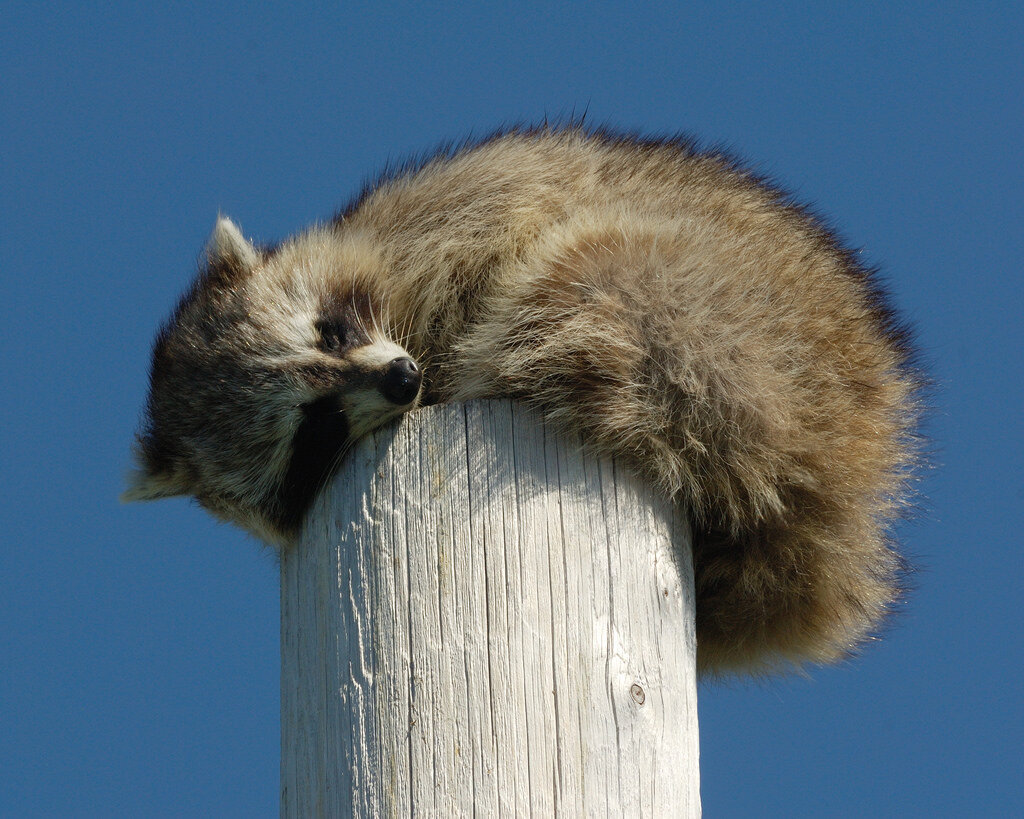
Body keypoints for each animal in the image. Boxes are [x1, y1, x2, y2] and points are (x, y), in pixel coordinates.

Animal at [125, 126, 921, 671]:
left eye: (329, 330)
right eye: (313, 430)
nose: (402, 381)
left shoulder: (448, 206)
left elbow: (508, 210)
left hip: (731, 310)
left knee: (575, 290)